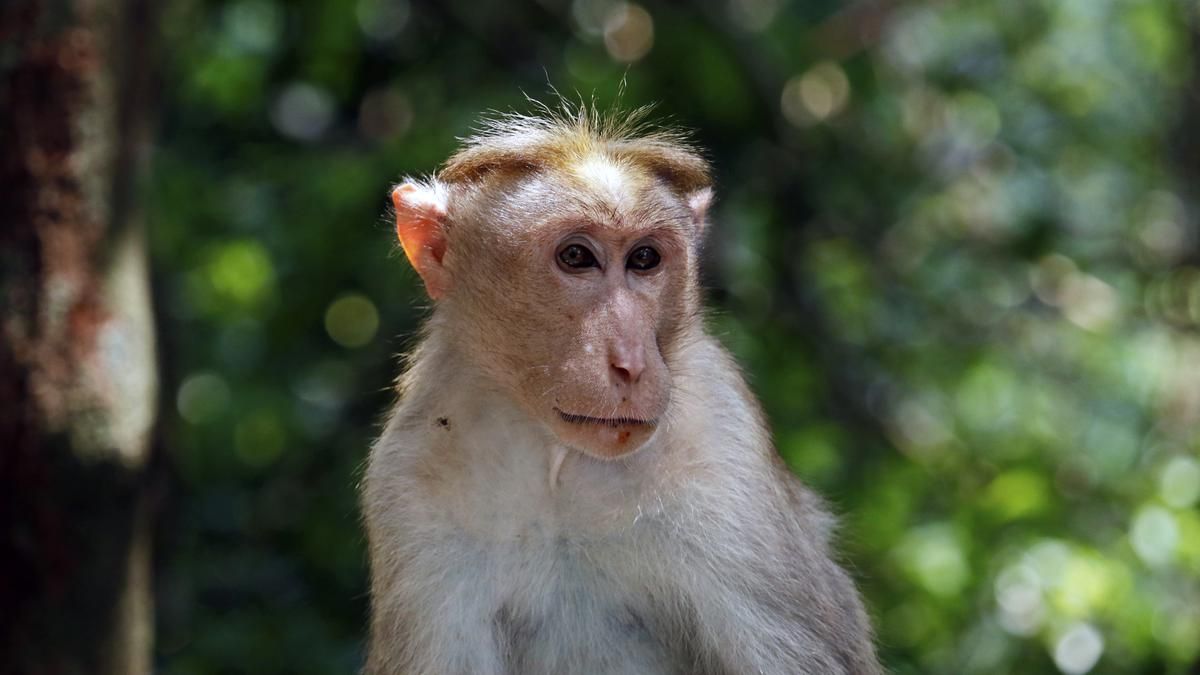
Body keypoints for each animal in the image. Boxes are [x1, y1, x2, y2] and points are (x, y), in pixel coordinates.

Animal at [362, 104, 882, 675]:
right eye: (576, 257)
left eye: (645, 259)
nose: (631, 363)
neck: (559, 458)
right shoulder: (408, 480)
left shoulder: (723, 447)